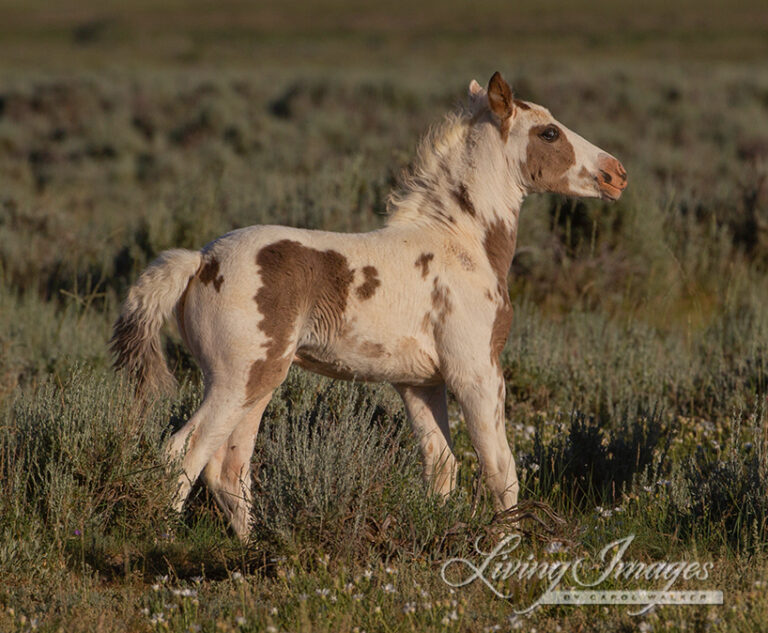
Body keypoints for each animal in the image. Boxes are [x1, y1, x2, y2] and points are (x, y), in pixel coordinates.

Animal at [111, 71, 627, 540]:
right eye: (549, 132)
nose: (616, 173)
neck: (462, 242)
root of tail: (201, 261)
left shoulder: (420, 384)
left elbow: (442, 466)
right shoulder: (477, 372)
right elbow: (500, 468)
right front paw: (509, 546)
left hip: (258, 382)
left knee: (227, 466)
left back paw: (252, 545)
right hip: (238, 379)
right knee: (183, 452)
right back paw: (161, 539)